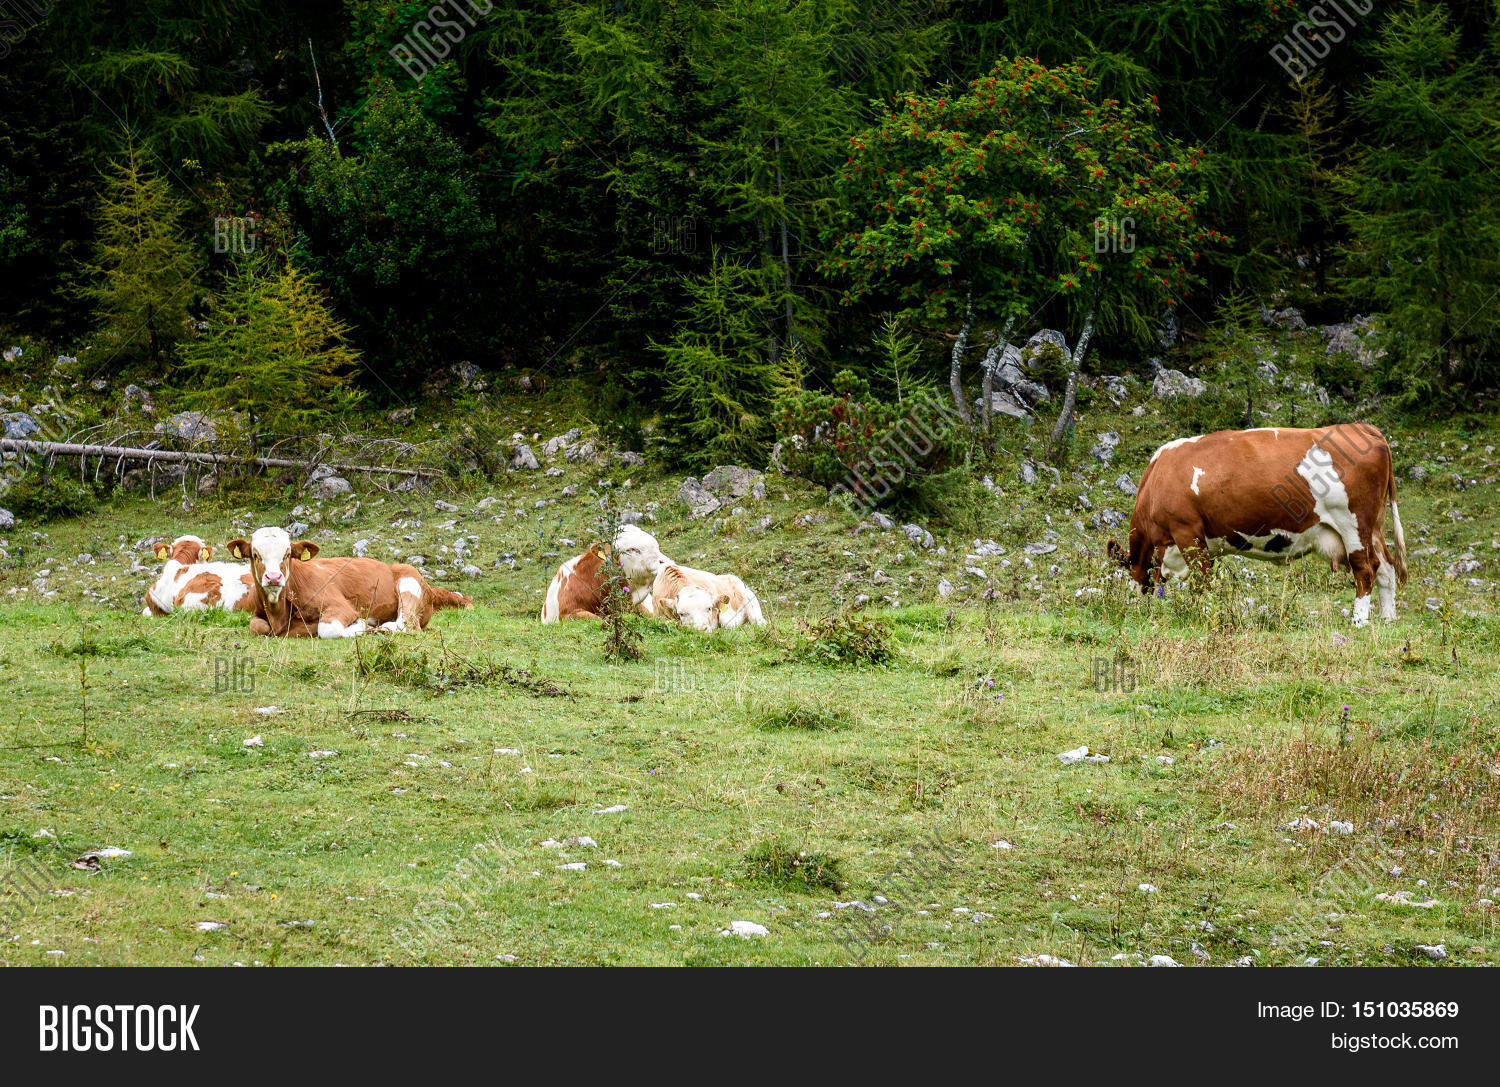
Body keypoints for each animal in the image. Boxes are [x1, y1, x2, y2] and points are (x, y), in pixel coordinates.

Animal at [226, 527, 472, 638]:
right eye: (255, 555)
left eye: (287, 554)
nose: (274, 577)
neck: (280, 612)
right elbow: (256, 626)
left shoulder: (339, 606)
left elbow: (328, 628)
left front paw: (361, 625)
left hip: (409, 583)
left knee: (406, 623)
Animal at [1107, 423, 1407, 625]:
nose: (1134, 608)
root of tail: (1361, 427)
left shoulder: (1187, 532)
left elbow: (1202, 581)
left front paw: (1201, 614)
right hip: (1374, 527)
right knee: (1386, 567)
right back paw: (1387, 618)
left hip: (1352, 524)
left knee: (1366, 569)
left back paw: (1358, 621)